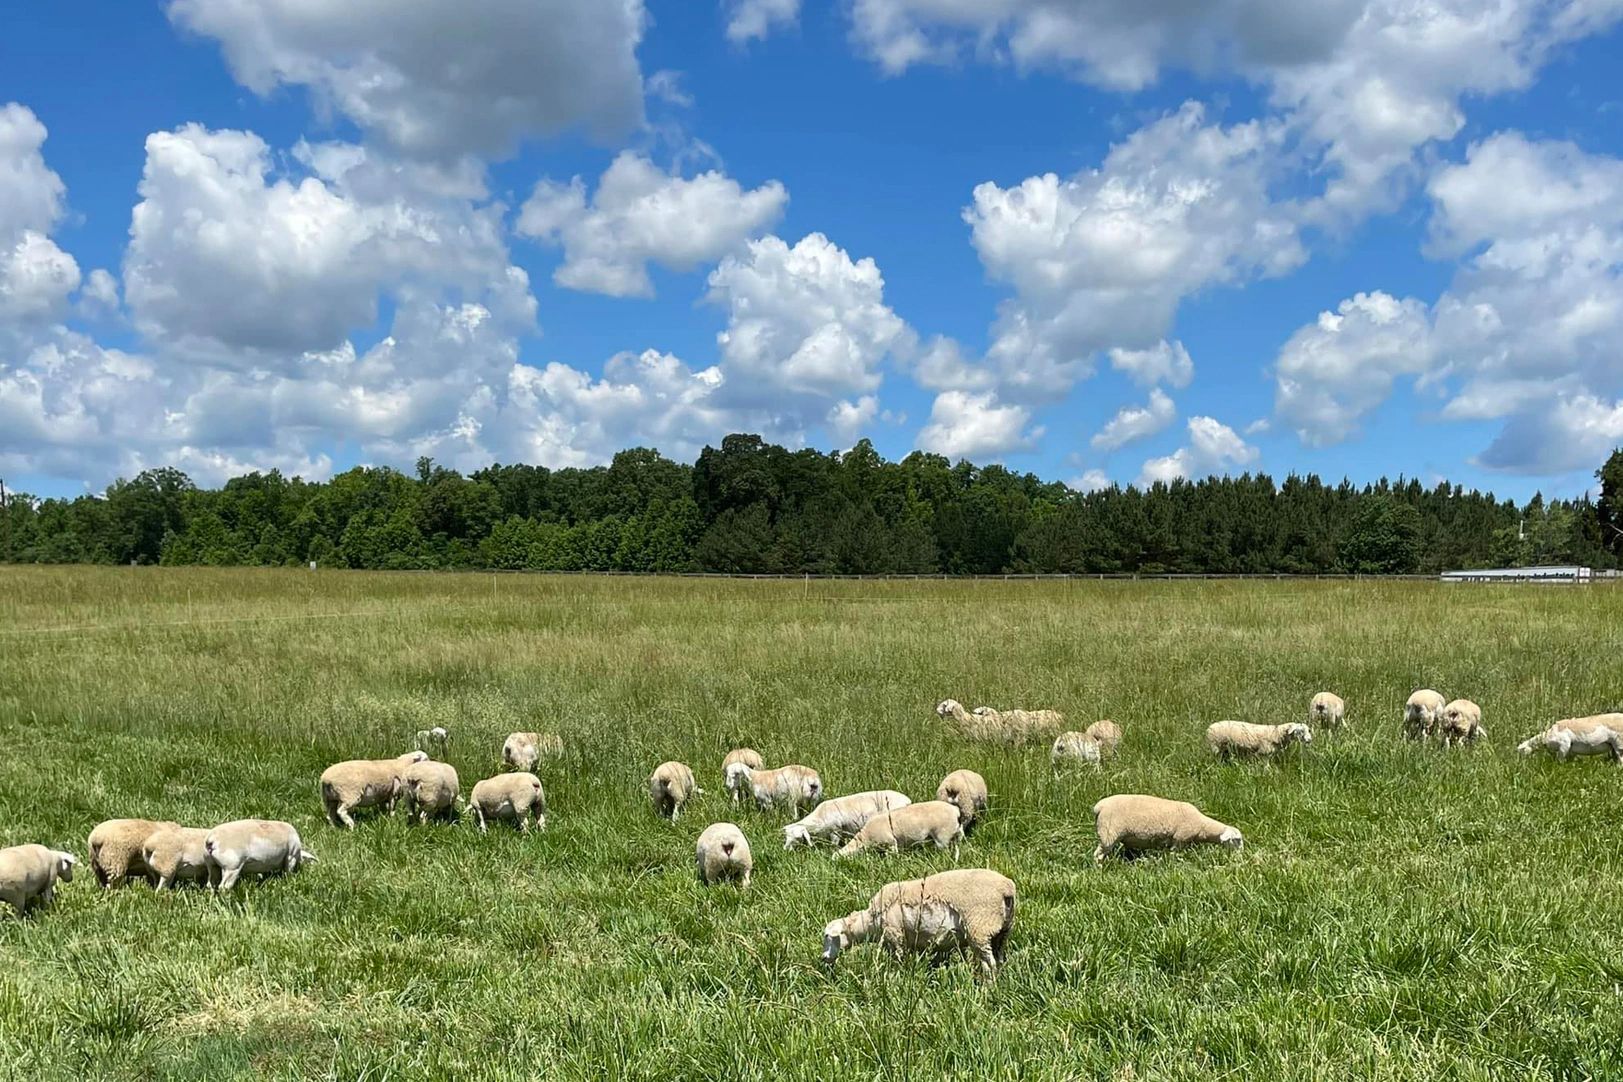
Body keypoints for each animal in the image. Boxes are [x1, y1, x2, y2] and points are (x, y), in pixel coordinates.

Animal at [782, 790, 911, 849]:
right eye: (787, 836)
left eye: (797, 838)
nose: (785, 849)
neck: (819, 817)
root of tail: (907, 800)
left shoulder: (836, 830)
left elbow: (834, 844)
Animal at [821, 868, 1016, 980]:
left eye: (828, 936)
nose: (823, 958)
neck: (870, 922)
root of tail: (1007, 888)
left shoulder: (895, 935)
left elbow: (899, 959)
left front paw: (898, 976)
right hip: (1001, 932)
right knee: (998, 960)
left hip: (980, 928)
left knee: (989, 964)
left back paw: (986, 988)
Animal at [1092, 794, 1243, 864]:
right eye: (1237, 840)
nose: (1241, 854)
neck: (1202, 826)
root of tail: (1099, 807)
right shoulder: (1180, 838)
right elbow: (1174, 854)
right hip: (1108, 832)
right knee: (1097, 854)